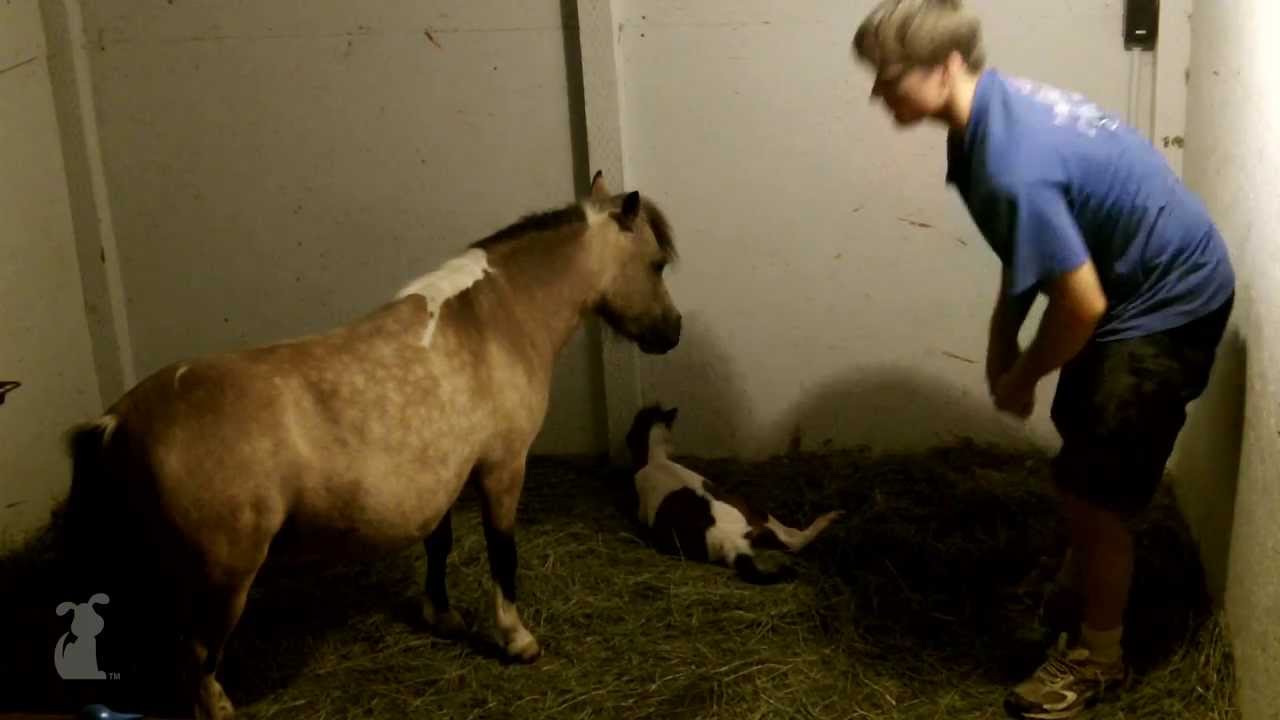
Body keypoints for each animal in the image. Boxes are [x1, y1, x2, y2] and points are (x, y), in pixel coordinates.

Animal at [59, 171, 682, 719]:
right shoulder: (503, 467)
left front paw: (442, 616)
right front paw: (516, 638)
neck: (494, 320)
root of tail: (118, 421)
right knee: (196, 659)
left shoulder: (443, 474)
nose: (673, 332)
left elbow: (439, 545)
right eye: (656, 264)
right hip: (224, 577)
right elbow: (502, 553)